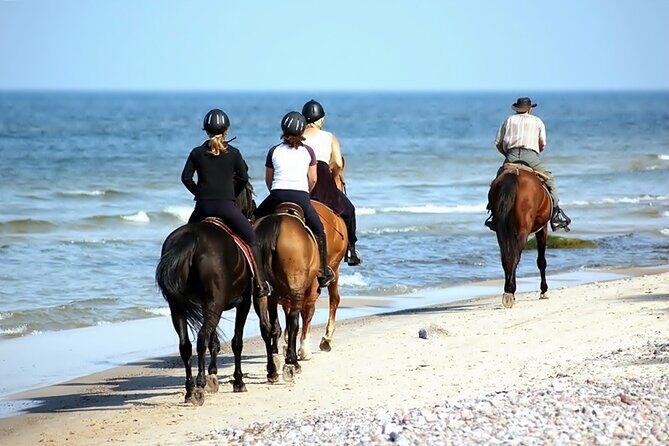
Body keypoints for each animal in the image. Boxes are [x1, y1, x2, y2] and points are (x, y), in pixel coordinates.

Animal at [155, 183, 278, 405]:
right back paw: (199, 385)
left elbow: (215, 340)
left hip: (179, 307)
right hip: (216, 303)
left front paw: (213, 374)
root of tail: (191, 239)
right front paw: (238, 381)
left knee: (185, 345)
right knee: (202, 337)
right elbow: (236, 342)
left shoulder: (207, 304)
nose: (253, 210)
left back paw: (190, 389)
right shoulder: (243, 302)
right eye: (249, 191)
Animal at [254, 205, 320, 382]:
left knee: (266, 326)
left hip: (260, 291)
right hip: (296, 288)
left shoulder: (275, 295)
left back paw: (271, 369)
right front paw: (292, 361)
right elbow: (294, 322)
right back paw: (291, 364)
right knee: (294, 322)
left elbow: (275, 326)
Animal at [488, 165, 552, 308]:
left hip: (501, 231)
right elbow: (541, 261)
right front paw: (544, 290)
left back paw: (508, 291)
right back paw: (510, 291)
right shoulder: (542, 228)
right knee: (516, 256)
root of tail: (513, 173)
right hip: (523, 230)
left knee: (506, 257)